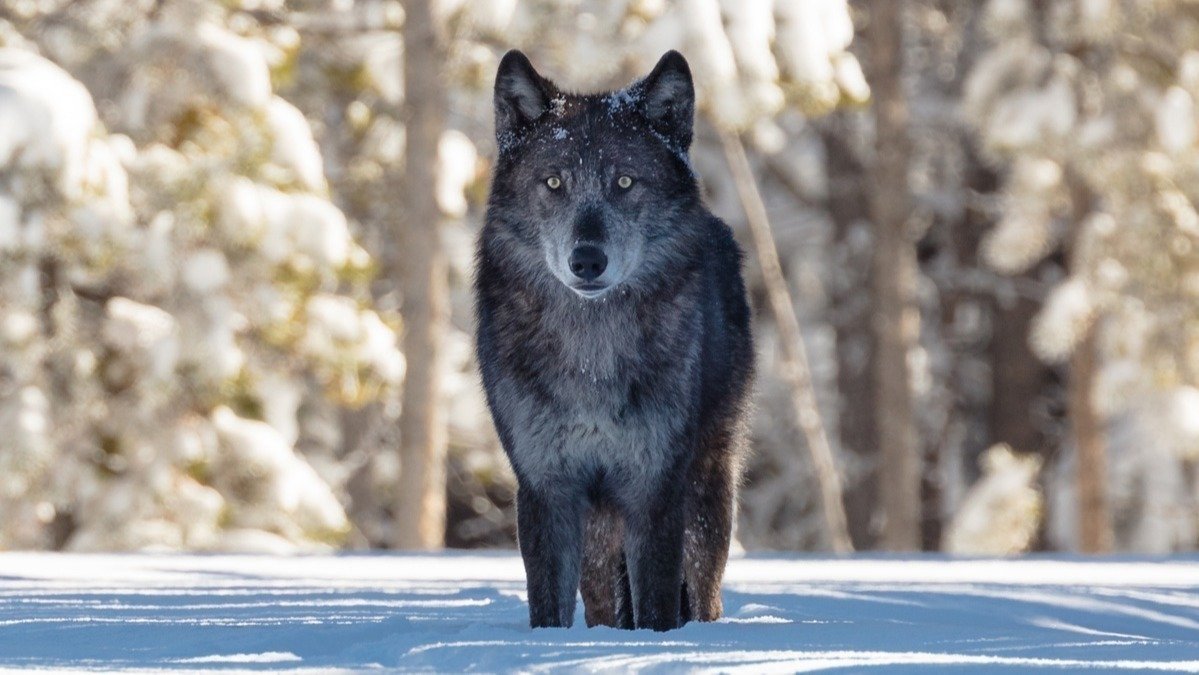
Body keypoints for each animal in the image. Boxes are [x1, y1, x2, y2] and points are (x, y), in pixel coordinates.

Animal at [474, 49, 754, 631]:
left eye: (625, 182)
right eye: (553, 183)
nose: (587, 260)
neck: (592, 356)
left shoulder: (655, 487)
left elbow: (657, 606)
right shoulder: (548, 487)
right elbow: (548, 608)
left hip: (706, 494)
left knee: (704, 592)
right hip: (601, 532)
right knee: (604, 601)